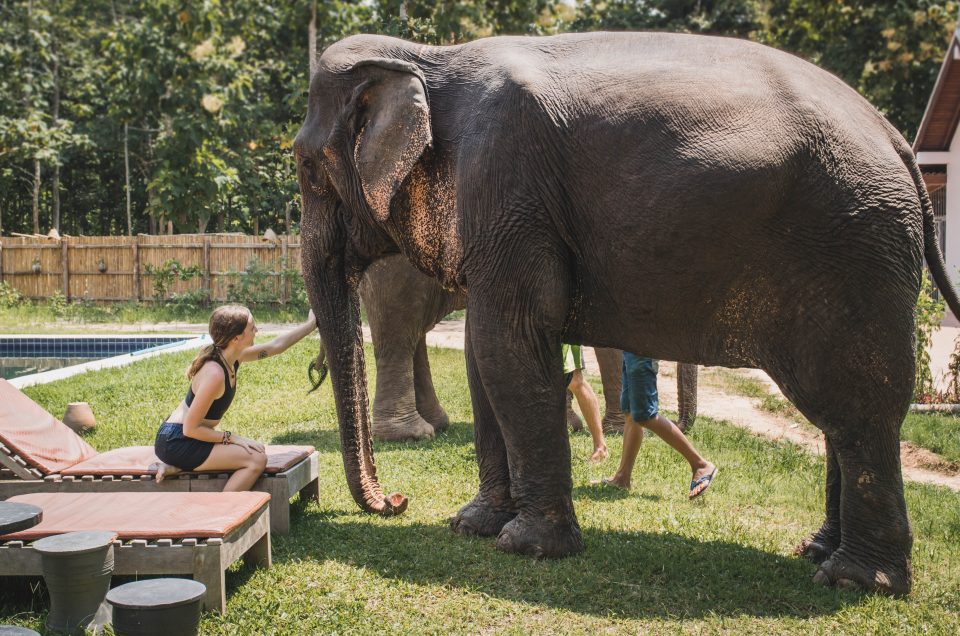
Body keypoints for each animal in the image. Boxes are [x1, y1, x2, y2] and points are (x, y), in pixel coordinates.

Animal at [309, 254, 697, 440]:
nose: (680, 424)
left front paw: (573, 426)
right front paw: (611, 430)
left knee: (415, 331)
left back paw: (438, 424)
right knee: (400, 331)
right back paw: (413, 435)